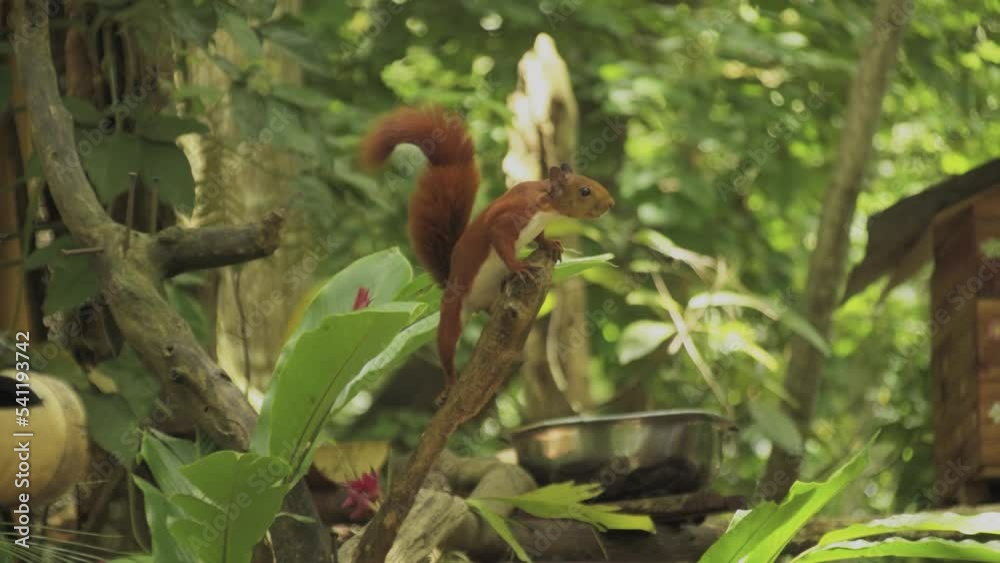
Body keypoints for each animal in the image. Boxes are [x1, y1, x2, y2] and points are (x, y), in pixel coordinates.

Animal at [361, 107, 614, 399]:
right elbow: (500, 240)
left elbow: (539, 238)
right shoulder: (510, 218)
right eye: (585, 191)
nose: (610, 203)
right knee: (447, 344)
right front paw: (519, 267)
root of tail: (451, 281)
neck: (545, 203)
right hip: (453, 312)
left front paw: (551, 245)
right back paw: (449, 384)